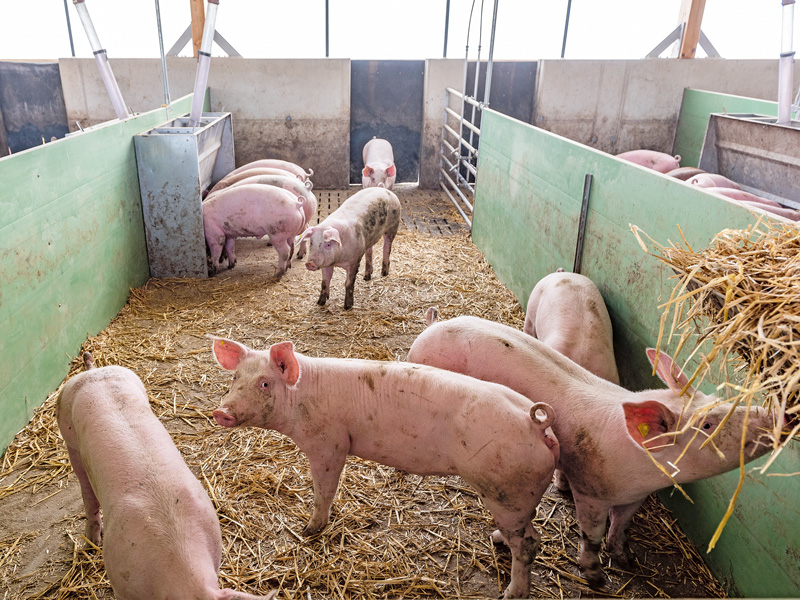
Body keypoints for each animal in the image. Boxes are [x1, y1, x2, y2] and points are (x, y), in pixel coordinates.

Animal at [209, 336, 559, 599]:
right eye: (235, 378)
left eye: (265, 383)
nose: (221, 413)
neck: (299, 400)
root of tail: (536, 424)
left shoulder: (329, 444)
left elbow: (324, 490)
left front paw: (309, 530)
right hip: (517, 498)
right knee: (528, 531)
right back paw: (496, 538)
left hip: (506, 490)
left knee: (529, 544)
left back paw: (511, 593)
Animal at [407, 316, 775, 590]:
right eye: (708, 425)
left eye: (719, 401)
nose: (778, 416)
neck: (643, 472)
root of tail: (432, 326)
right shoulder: (591, 489)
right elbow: (592, 533)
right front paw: (597, 578)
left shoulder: (637, 494)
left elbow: (622, 524)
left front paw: (626, 557)